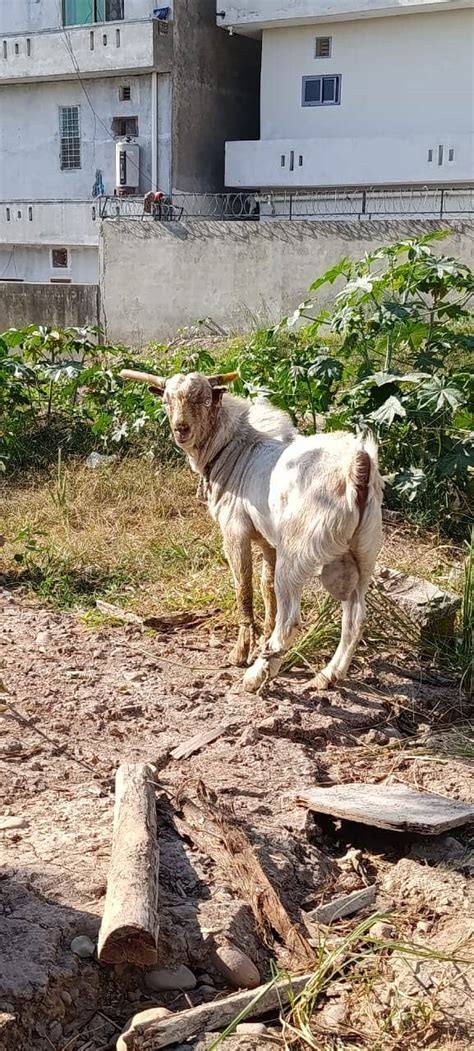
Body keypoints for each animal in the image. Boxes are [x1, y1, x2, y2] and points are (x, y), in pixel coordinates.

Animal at [121, 369, 383, 692]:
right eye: (167, 401)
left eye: (205, 400)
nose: (181, 429)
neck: (235, 446)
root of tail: (358, 465)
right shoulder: (268, 540)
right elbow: (265, 586)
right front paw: (261, 637)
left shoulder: (235, 529)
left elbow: (243, 587)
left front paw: (240, 652)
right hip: (362, 553)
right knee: (355, 616)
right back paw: (327, 675)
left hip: (299, 549)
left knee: (291, 618)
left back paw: (257, 674)